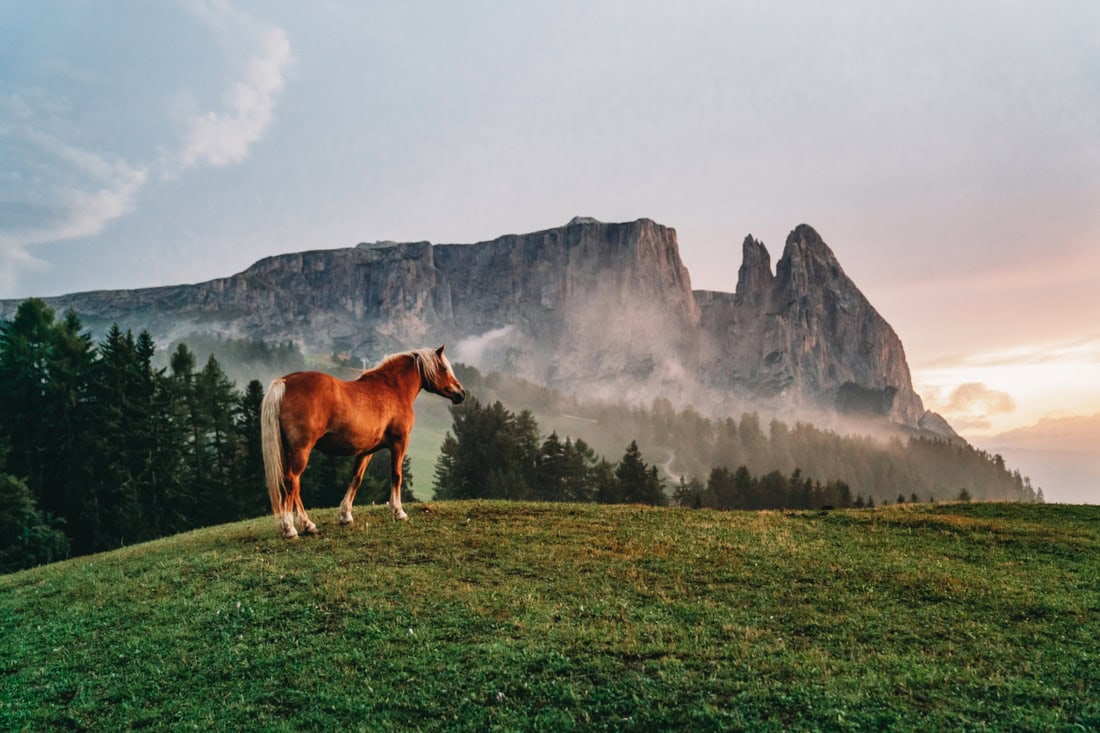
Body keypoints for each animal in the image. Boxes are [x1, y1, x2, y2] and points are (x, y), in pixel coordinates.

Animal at [261, 345, 466, 538]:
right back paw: (293, 528)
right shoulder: (399, 443)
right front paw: (398, 511)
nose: (461, 393)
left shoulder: (367, 450)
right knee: (291, 482)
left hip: (288, 451)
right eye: (444, 368)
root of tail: (285, 382)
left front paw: (345, 515)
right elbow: (397, 475)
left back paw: (302, 525)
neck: (393, 388)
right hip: (301, 450)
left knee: (291, 485)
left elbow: (356, 478)